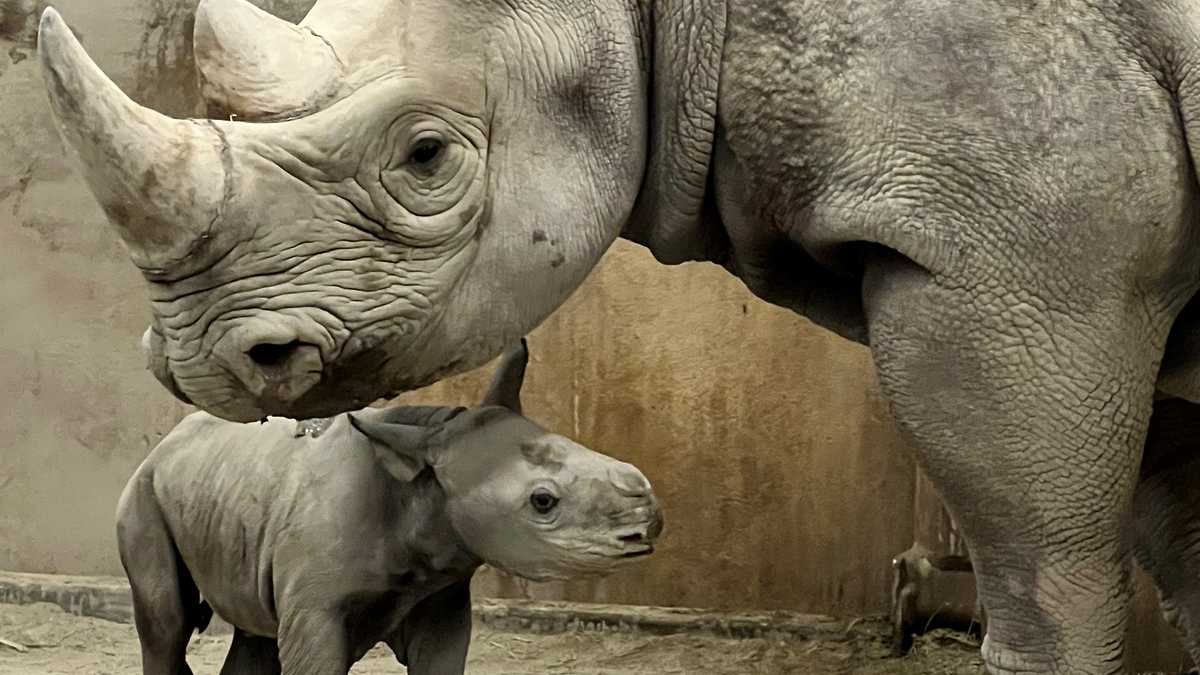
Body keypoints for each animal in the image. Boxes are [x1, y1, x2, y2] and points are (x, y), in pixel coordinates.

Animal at [115, 339, 663, 675]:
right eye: (543, 502)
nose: (649, 522)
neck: (422, 483)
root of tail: (165, 443)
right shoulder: (316, 610)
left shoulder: (440, 595)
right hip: (141, 491)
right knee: (166, 622)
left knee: (252, 631)